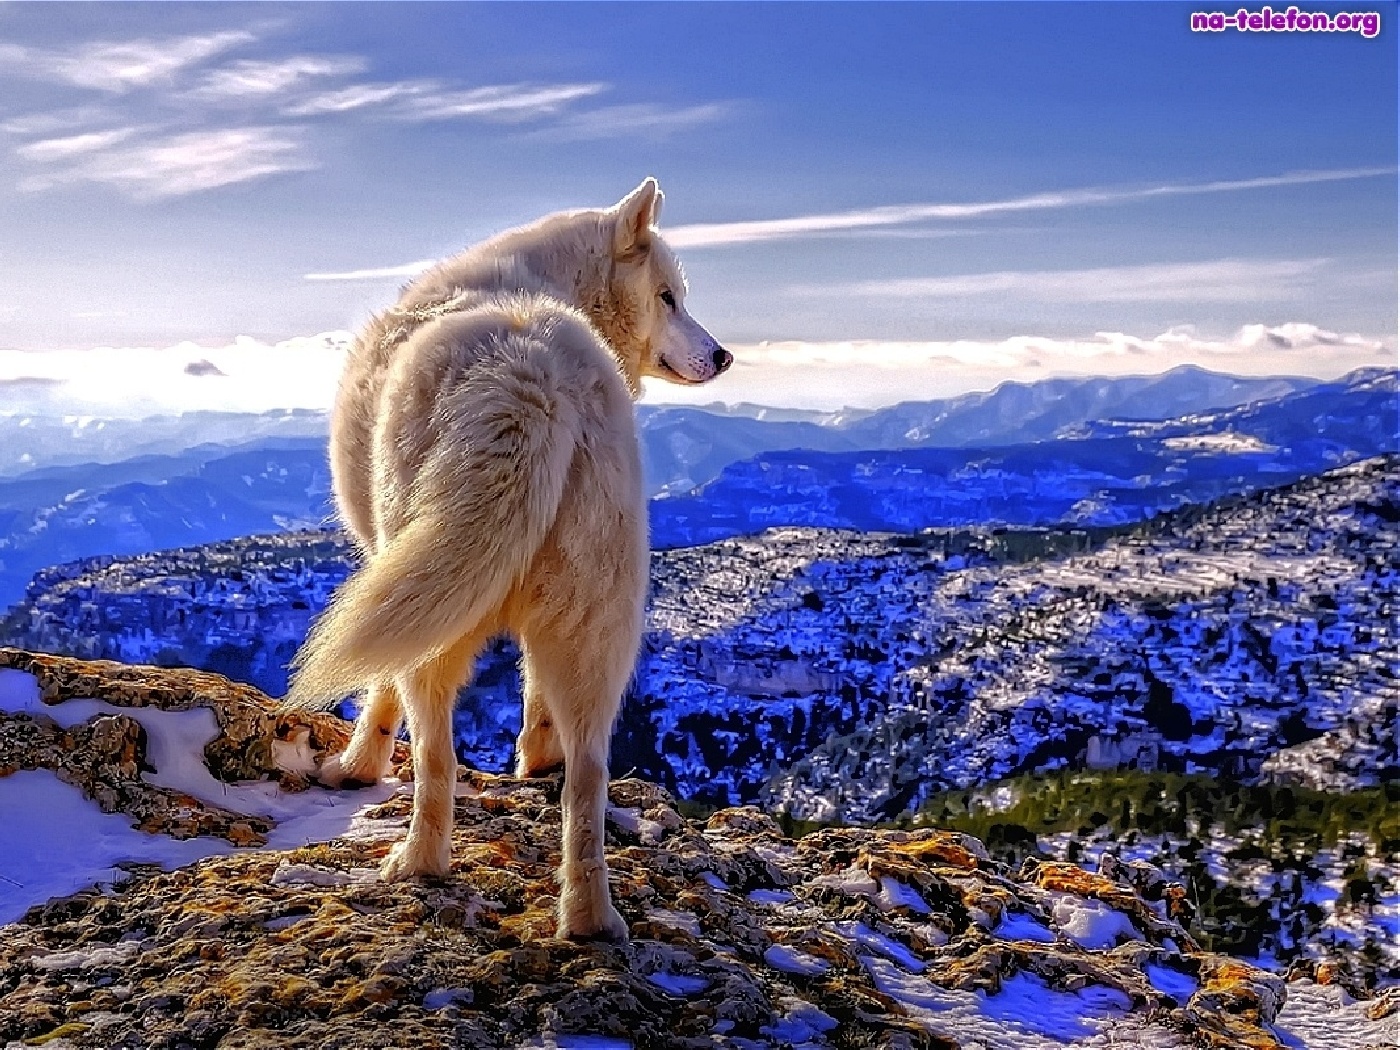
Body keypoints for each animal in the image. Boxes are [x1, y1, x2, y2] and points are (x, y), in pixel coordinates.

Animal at [284, 179, 730, 940]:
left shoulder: (389, 562)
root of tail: (533, 378)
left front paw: (355, 765)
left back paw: (417, 863)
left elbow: (378, 692)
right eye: (669, 297)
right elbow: (532, 696)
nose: (724, 355)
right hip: (595, 622)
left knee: (437, 757)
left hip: (439, 607)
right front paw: (534, 758)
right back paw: (588, 918)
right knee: (588, 775)